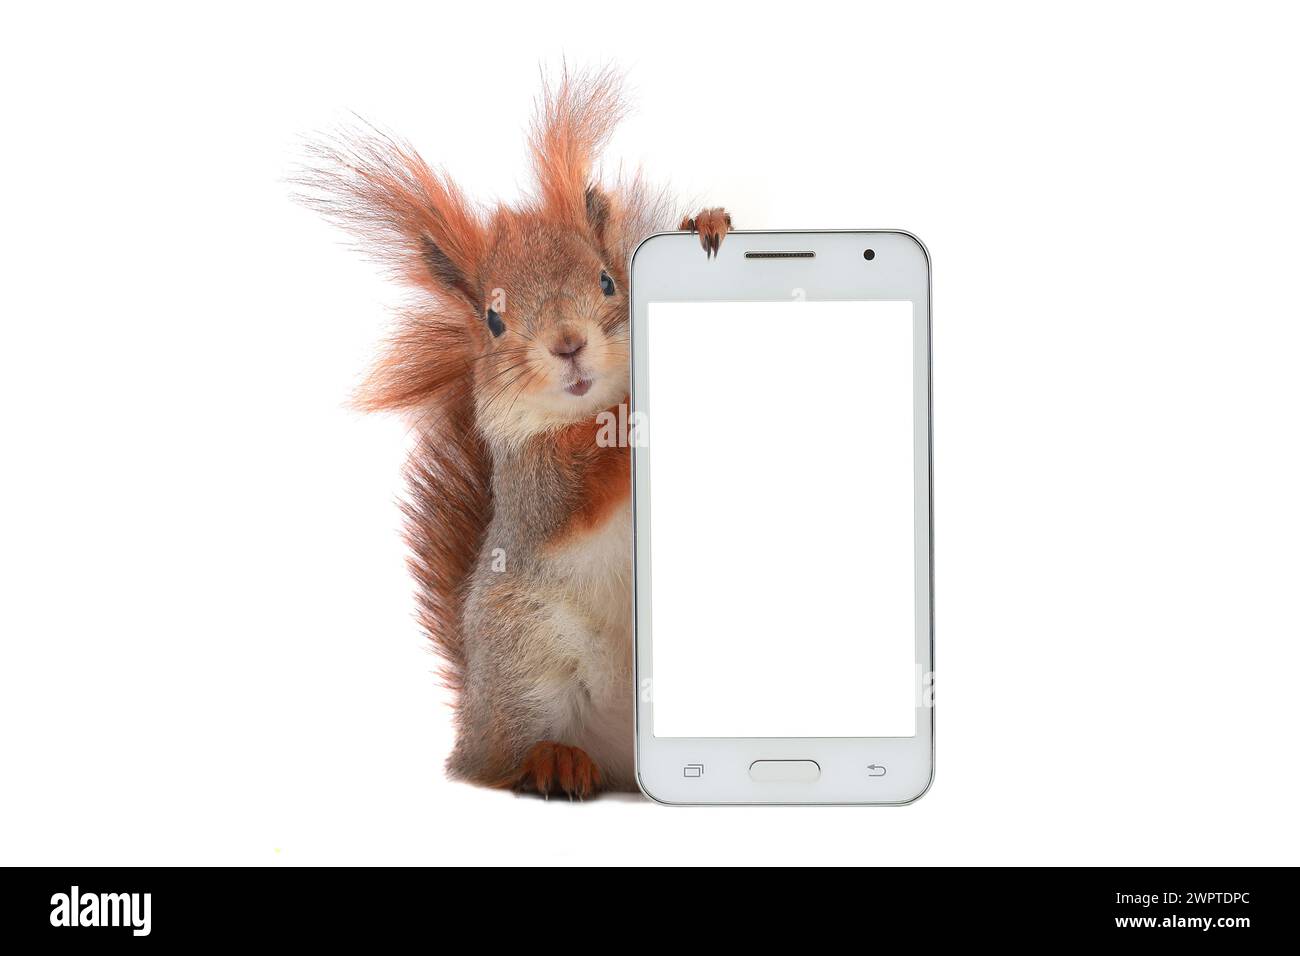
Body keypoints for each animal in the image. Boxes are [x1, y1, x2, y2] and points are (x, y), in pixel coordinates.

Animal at [299, 68, 729, 797]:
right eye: (495, 322)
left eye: (608, 280)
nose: (568, 344)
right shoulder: (526, 483)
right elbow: (565, 498)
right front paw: (614, 424)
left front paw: (706, 223)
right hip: (522, 661)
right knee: (498, 763)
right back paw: (553, 760)